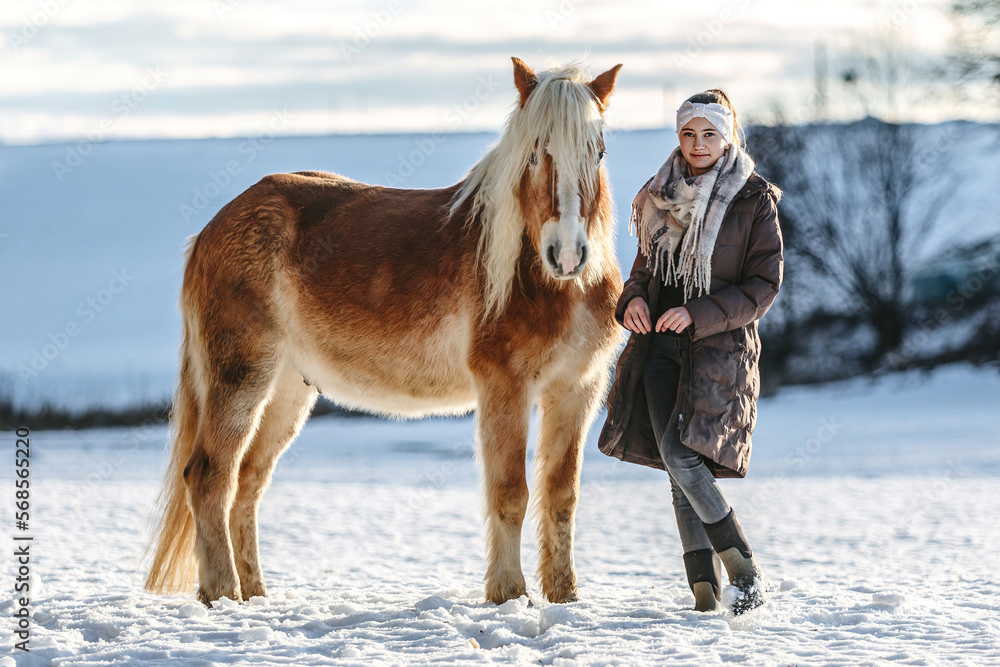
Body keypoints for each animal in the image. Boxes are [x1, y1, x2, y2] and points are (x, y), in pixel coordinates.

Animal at [143, 57, 624, 606]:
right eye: (534, 153)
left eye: (599, 151)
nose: (566, 255)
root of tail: (211, 229)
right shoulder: (506, 388)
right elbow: (510, 493)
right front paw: (508, 594)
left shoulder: (577, 389)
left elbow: (561, 495)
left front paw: (566, 597)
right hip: (242, 377)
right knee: (210, 476)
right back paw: (224, 594)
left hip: (286, 389)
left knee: (247, 481)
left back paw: (256, 594)